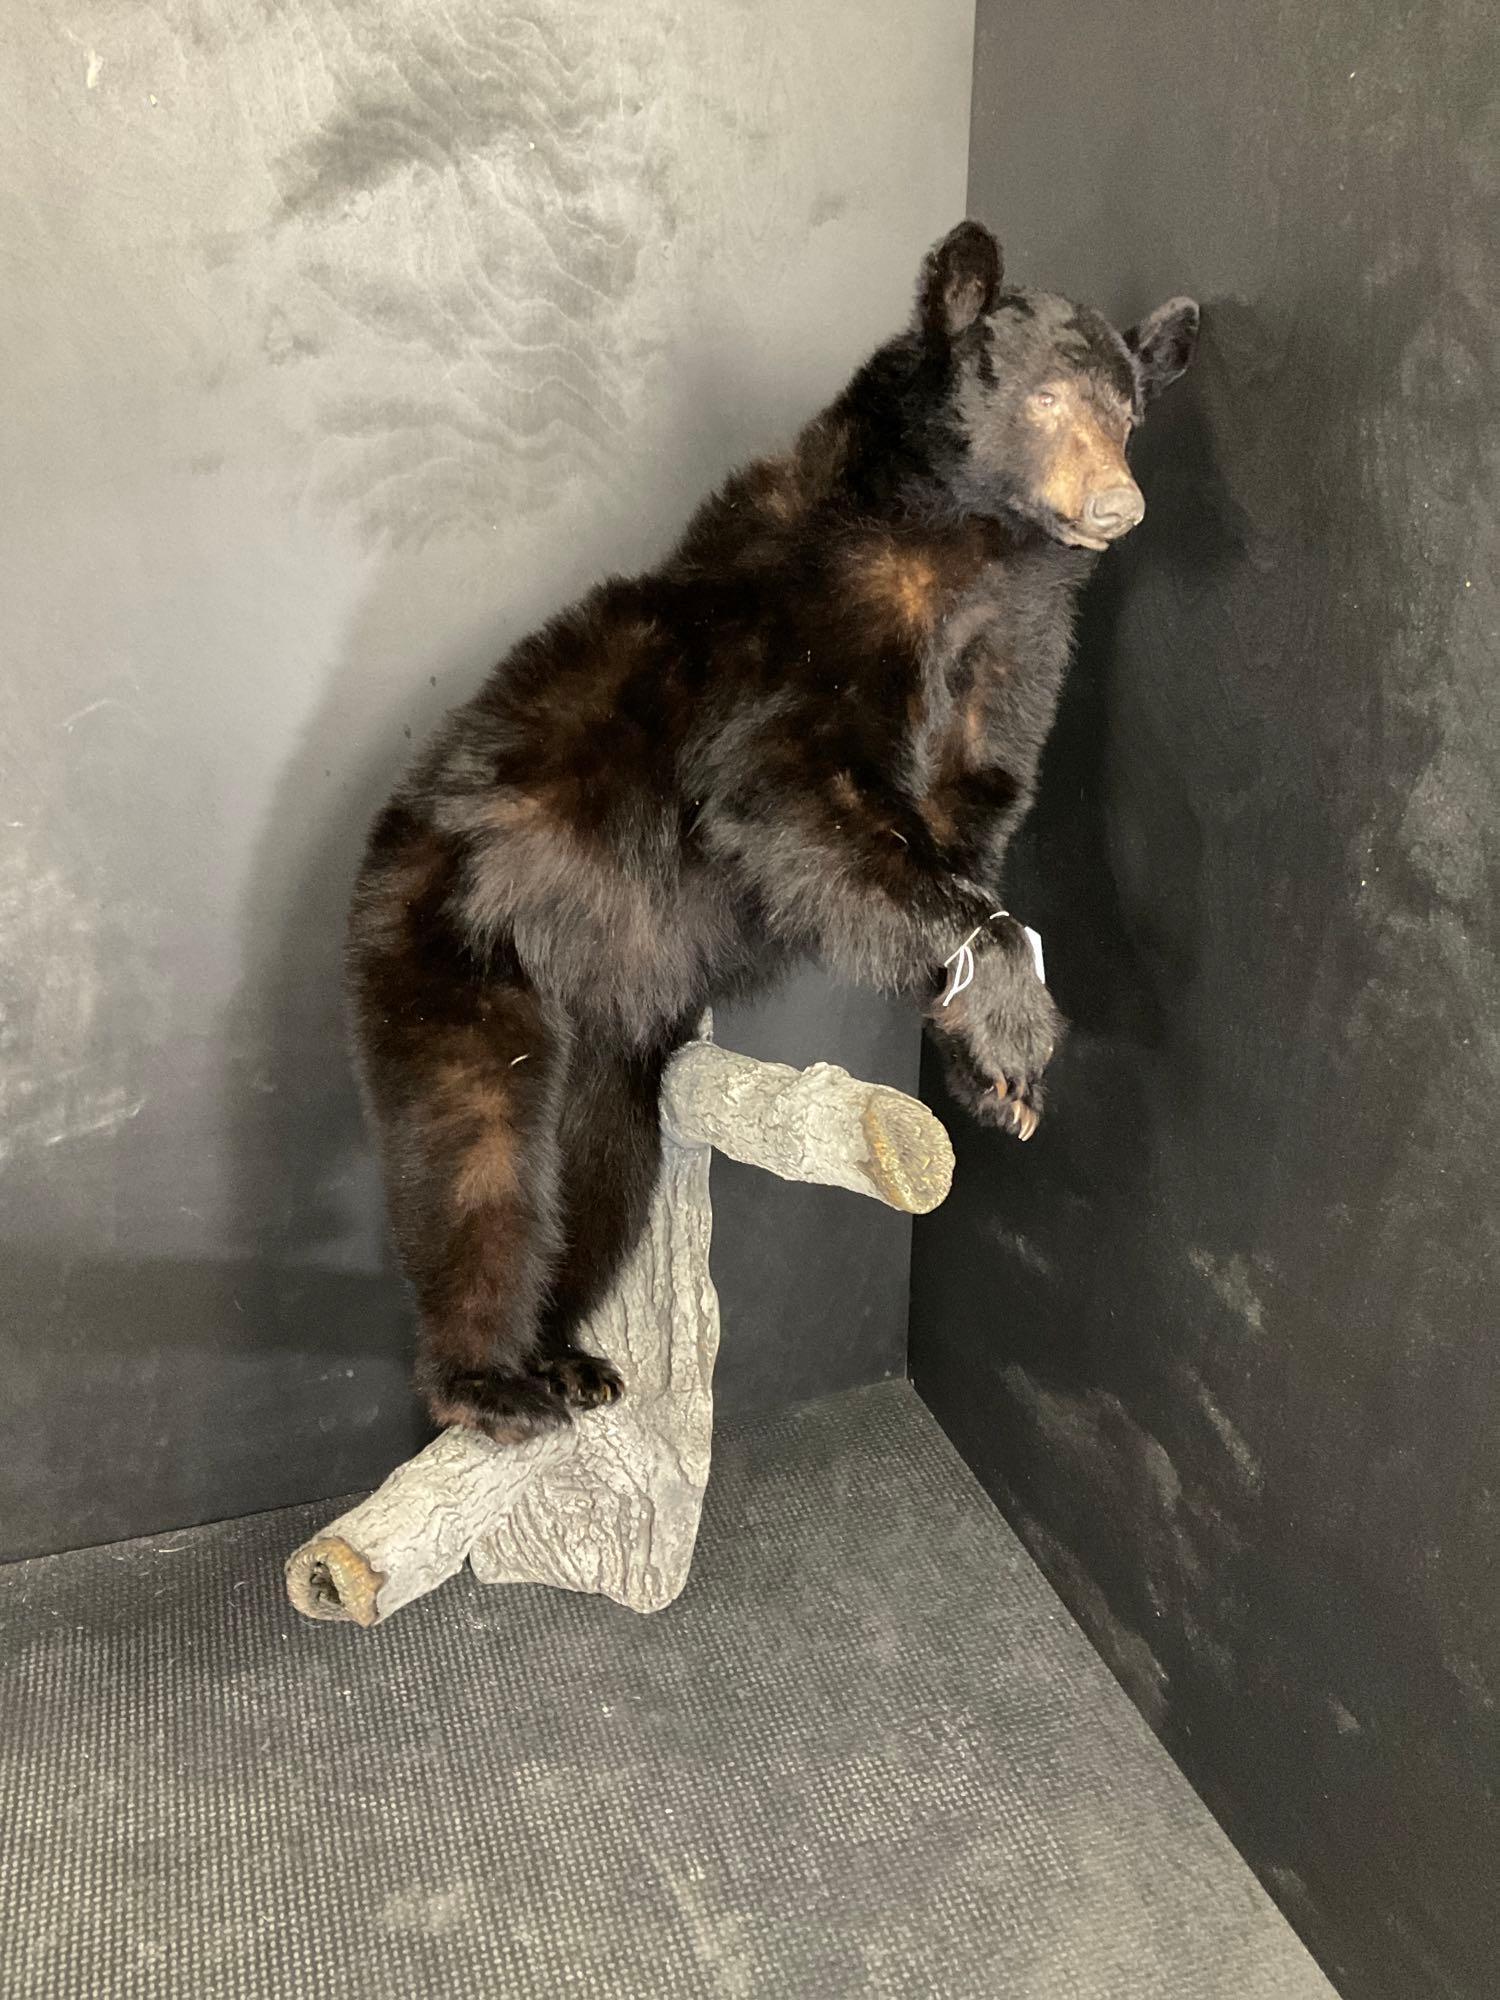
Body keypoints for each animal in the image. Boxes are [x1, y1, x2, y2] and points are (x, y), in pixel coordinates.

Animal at [347, 220, 1198, 1442]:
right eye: (1042, 397)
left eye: (1128, 410)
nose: (1118, 504)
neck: (967, 557)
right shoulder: (788, 648)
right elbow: (790, 797)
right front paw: (1014, 1025)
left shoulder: (1010, 661)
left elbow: (966, 814)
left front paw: (989, 1069)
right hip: (449, 942)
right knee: (475, 1149)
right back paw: (488, 1380)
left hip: (612, 1048)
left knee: (604, 1168)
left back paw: (566, 1353)